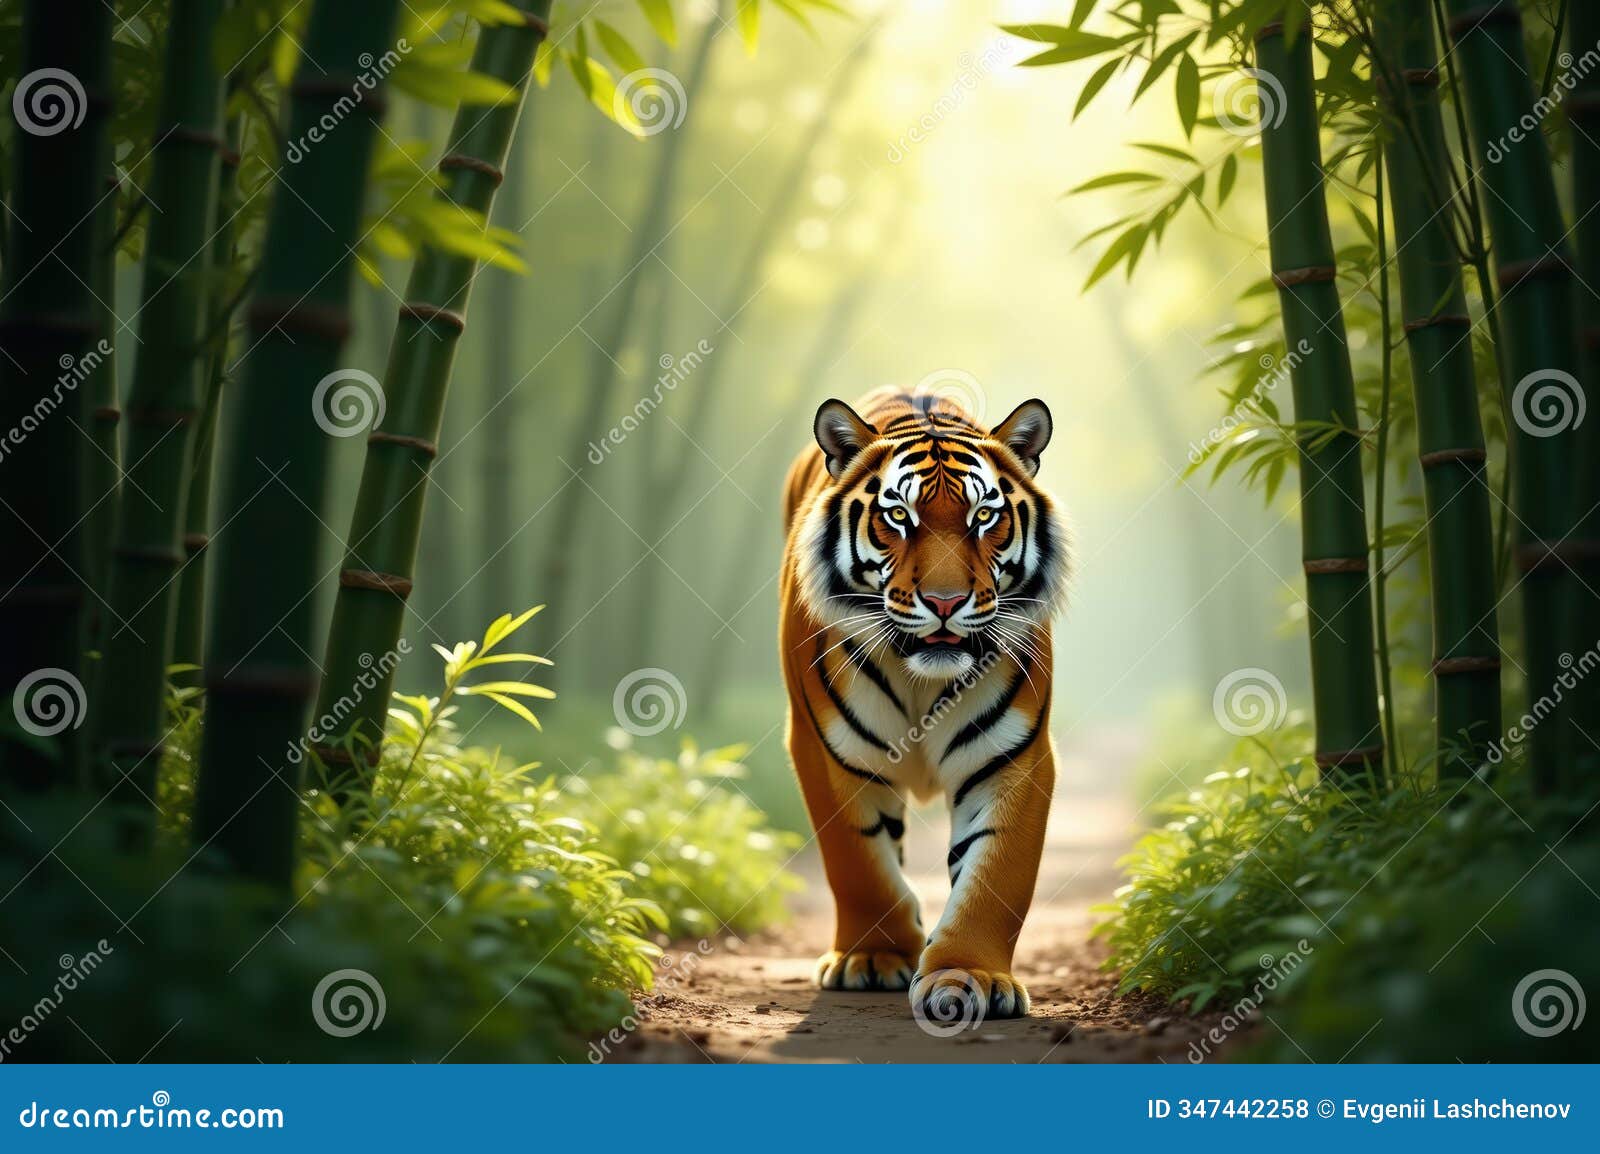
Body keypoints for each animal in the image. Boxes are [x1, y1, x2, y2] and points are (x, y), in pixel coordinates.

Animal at [778, 386, 1068, 1023]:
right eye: (897, 517)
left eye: (983, 517)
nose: (944, 601)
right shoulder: (826, 749)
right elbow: (857, 863)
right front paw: (874, 958)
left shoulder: (1013, 756)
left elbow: (996, 876)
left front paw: (971, 975)